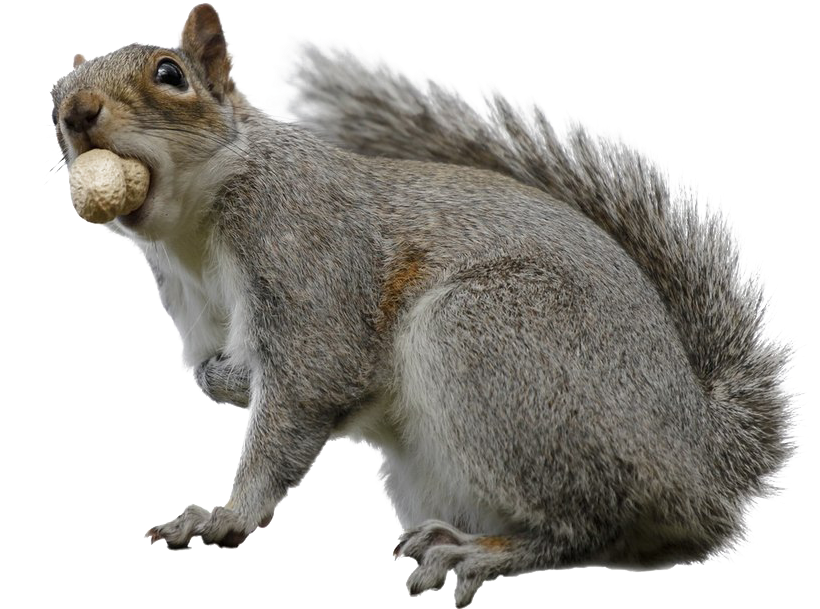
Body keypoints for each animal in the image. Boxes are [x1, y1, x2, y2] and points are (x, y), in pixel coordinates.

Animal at [50, 4, 811, 604]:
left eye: (169, 75)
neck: (190, 235)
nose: (74, 114)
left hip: (487, 339)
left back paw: (487, 551)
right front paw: (226, 384)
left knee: (589, 525)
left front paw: (228, 513)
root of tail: (696, 455)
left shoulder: (303, 244)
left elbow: (312, 382)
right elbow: (226, 374)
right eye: (54, 89)